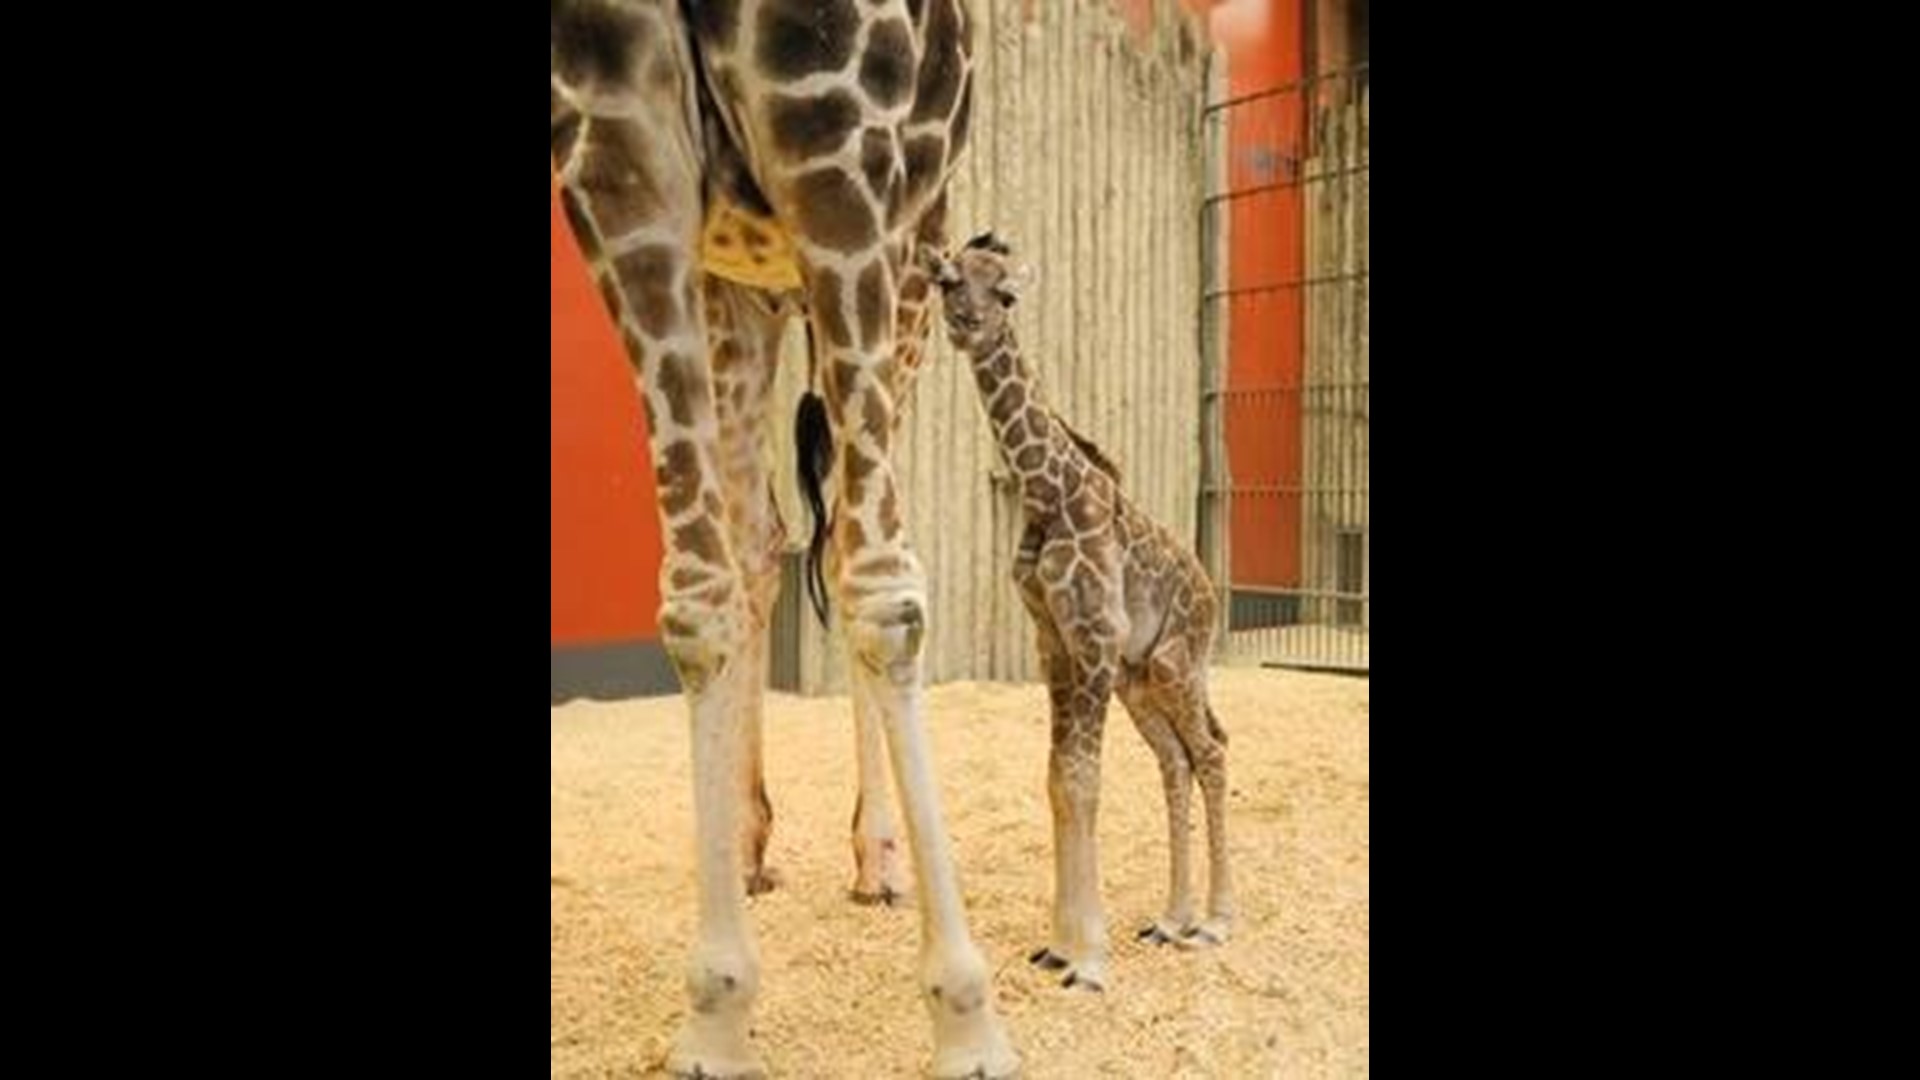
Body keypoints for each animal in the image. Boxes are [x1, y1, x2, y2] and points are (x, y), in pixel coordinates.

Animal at [551, 3, 1016, 1077]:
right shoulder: (884, 222)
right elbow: (827, 578)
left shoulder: (795, 213)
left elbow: (804, 571)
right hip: (807, 219)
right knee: (813, 550)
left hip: (752, 229)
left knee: (775, 556)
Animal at [925, 234, 1237, 994]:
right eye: (948, 280)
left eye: (1007, 294)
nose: (967, 324)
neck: (1048, 491)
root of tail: (1212, 593)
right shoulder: (1055, 646)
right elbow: (1055, 778)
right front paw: (1059, 947)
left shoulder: (1092, 641)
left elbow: (1082, 780)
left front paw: (1089, 960)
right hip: (1139, 682)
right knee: (1177, 760)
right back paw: (1172, 920)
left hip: (1174, 665)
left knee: (1213, 751)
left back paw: (1215, 922)